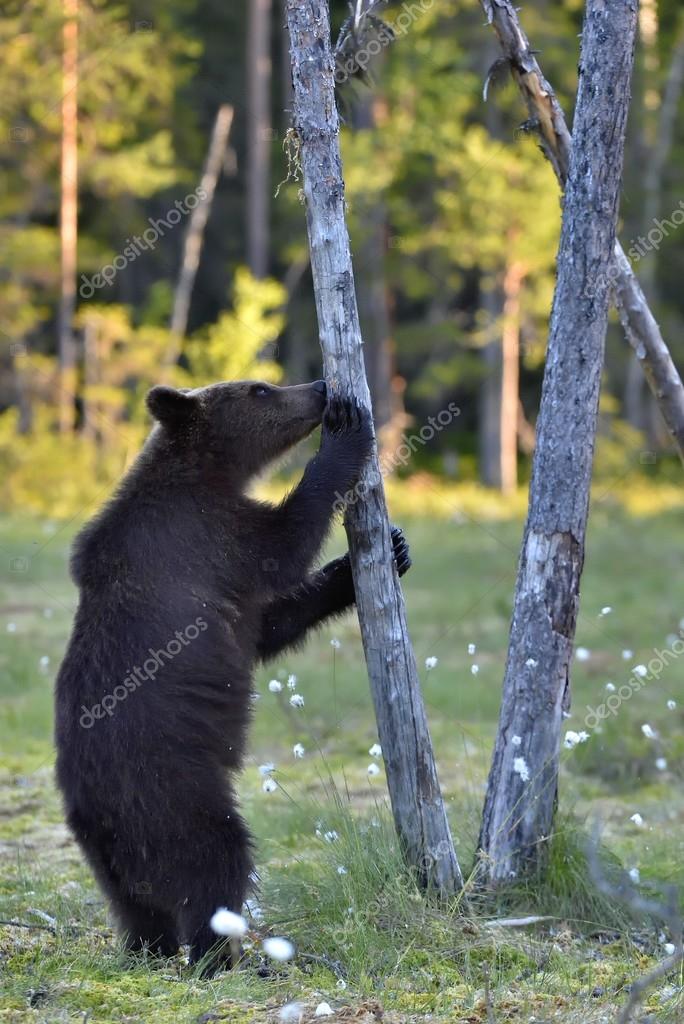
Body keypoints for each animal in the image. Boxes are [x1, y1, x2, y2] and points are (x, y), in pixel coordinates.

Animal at [54, 378, 411, 970]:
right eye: (260, 389)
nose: (319, 387)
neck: (209, 471)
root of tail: (95, 810)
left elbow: (271, 621)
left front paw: (386, 553)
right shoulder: (206, 532)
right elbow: (283, 542)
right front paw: (346, 435)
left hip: (109, 852)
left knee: (137, 907)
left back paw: (148, 951)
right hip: (171, 789)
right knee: (216, 859)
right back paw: (224, 956)